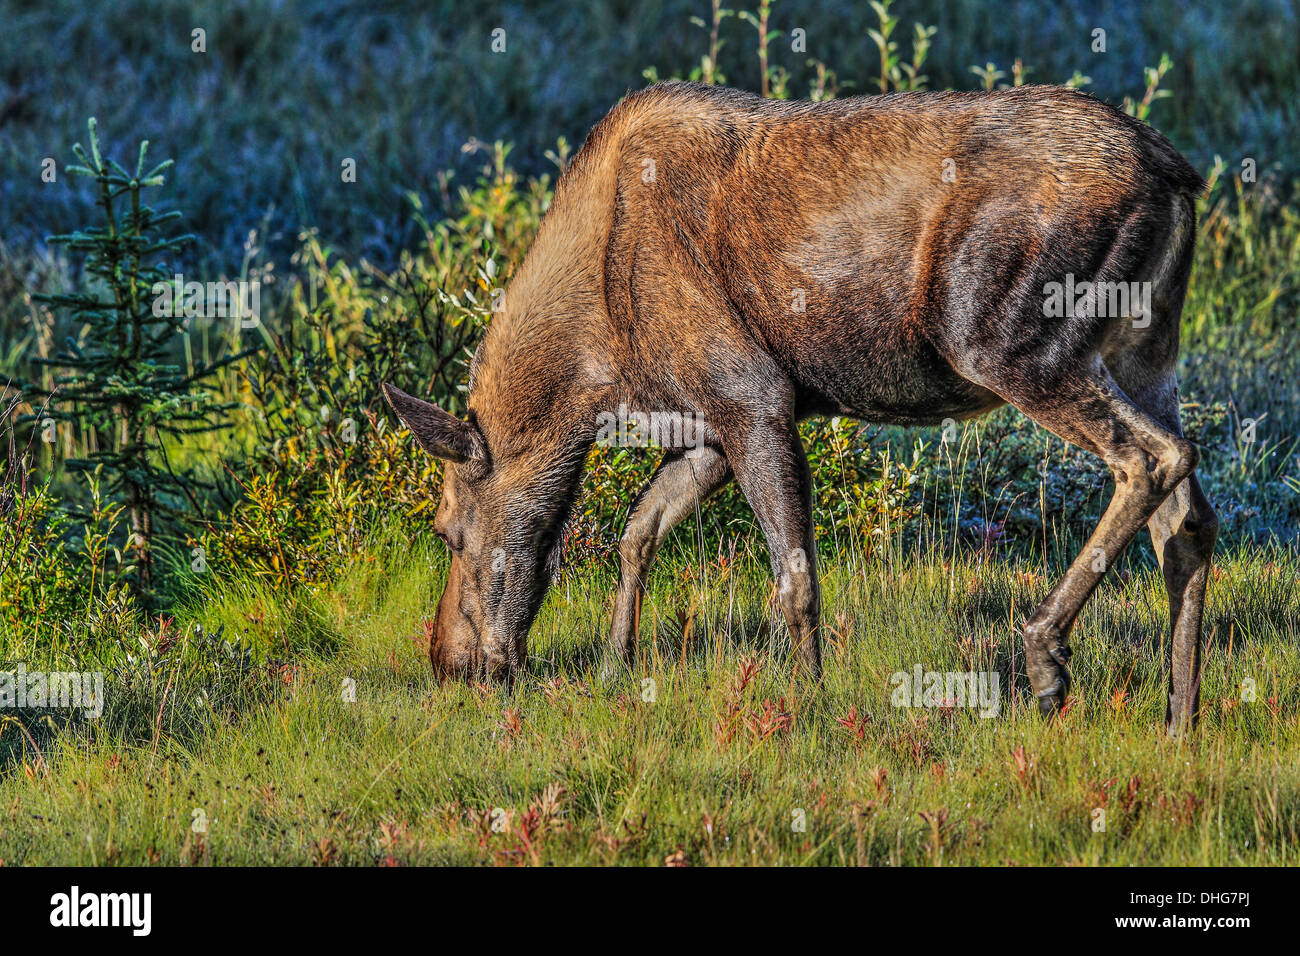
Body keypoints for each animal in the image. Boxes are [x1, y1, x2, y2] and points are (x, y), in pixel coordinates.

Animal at [383, 82, 1216, 734]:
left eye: (446, 530)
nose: (448, 663)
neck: (598, 368)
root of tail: (1180, 177)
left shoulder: (752, 396)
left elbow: (793, 578)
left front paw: (809, 703)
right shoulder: (707, 427)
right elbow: (637, 530)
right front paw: (617, 667)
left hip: (1011, 341)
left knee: (1151, 458)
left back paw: (1045, 655)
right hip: (1145, 353)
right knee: (1190, 516)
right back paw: (1179, 716)